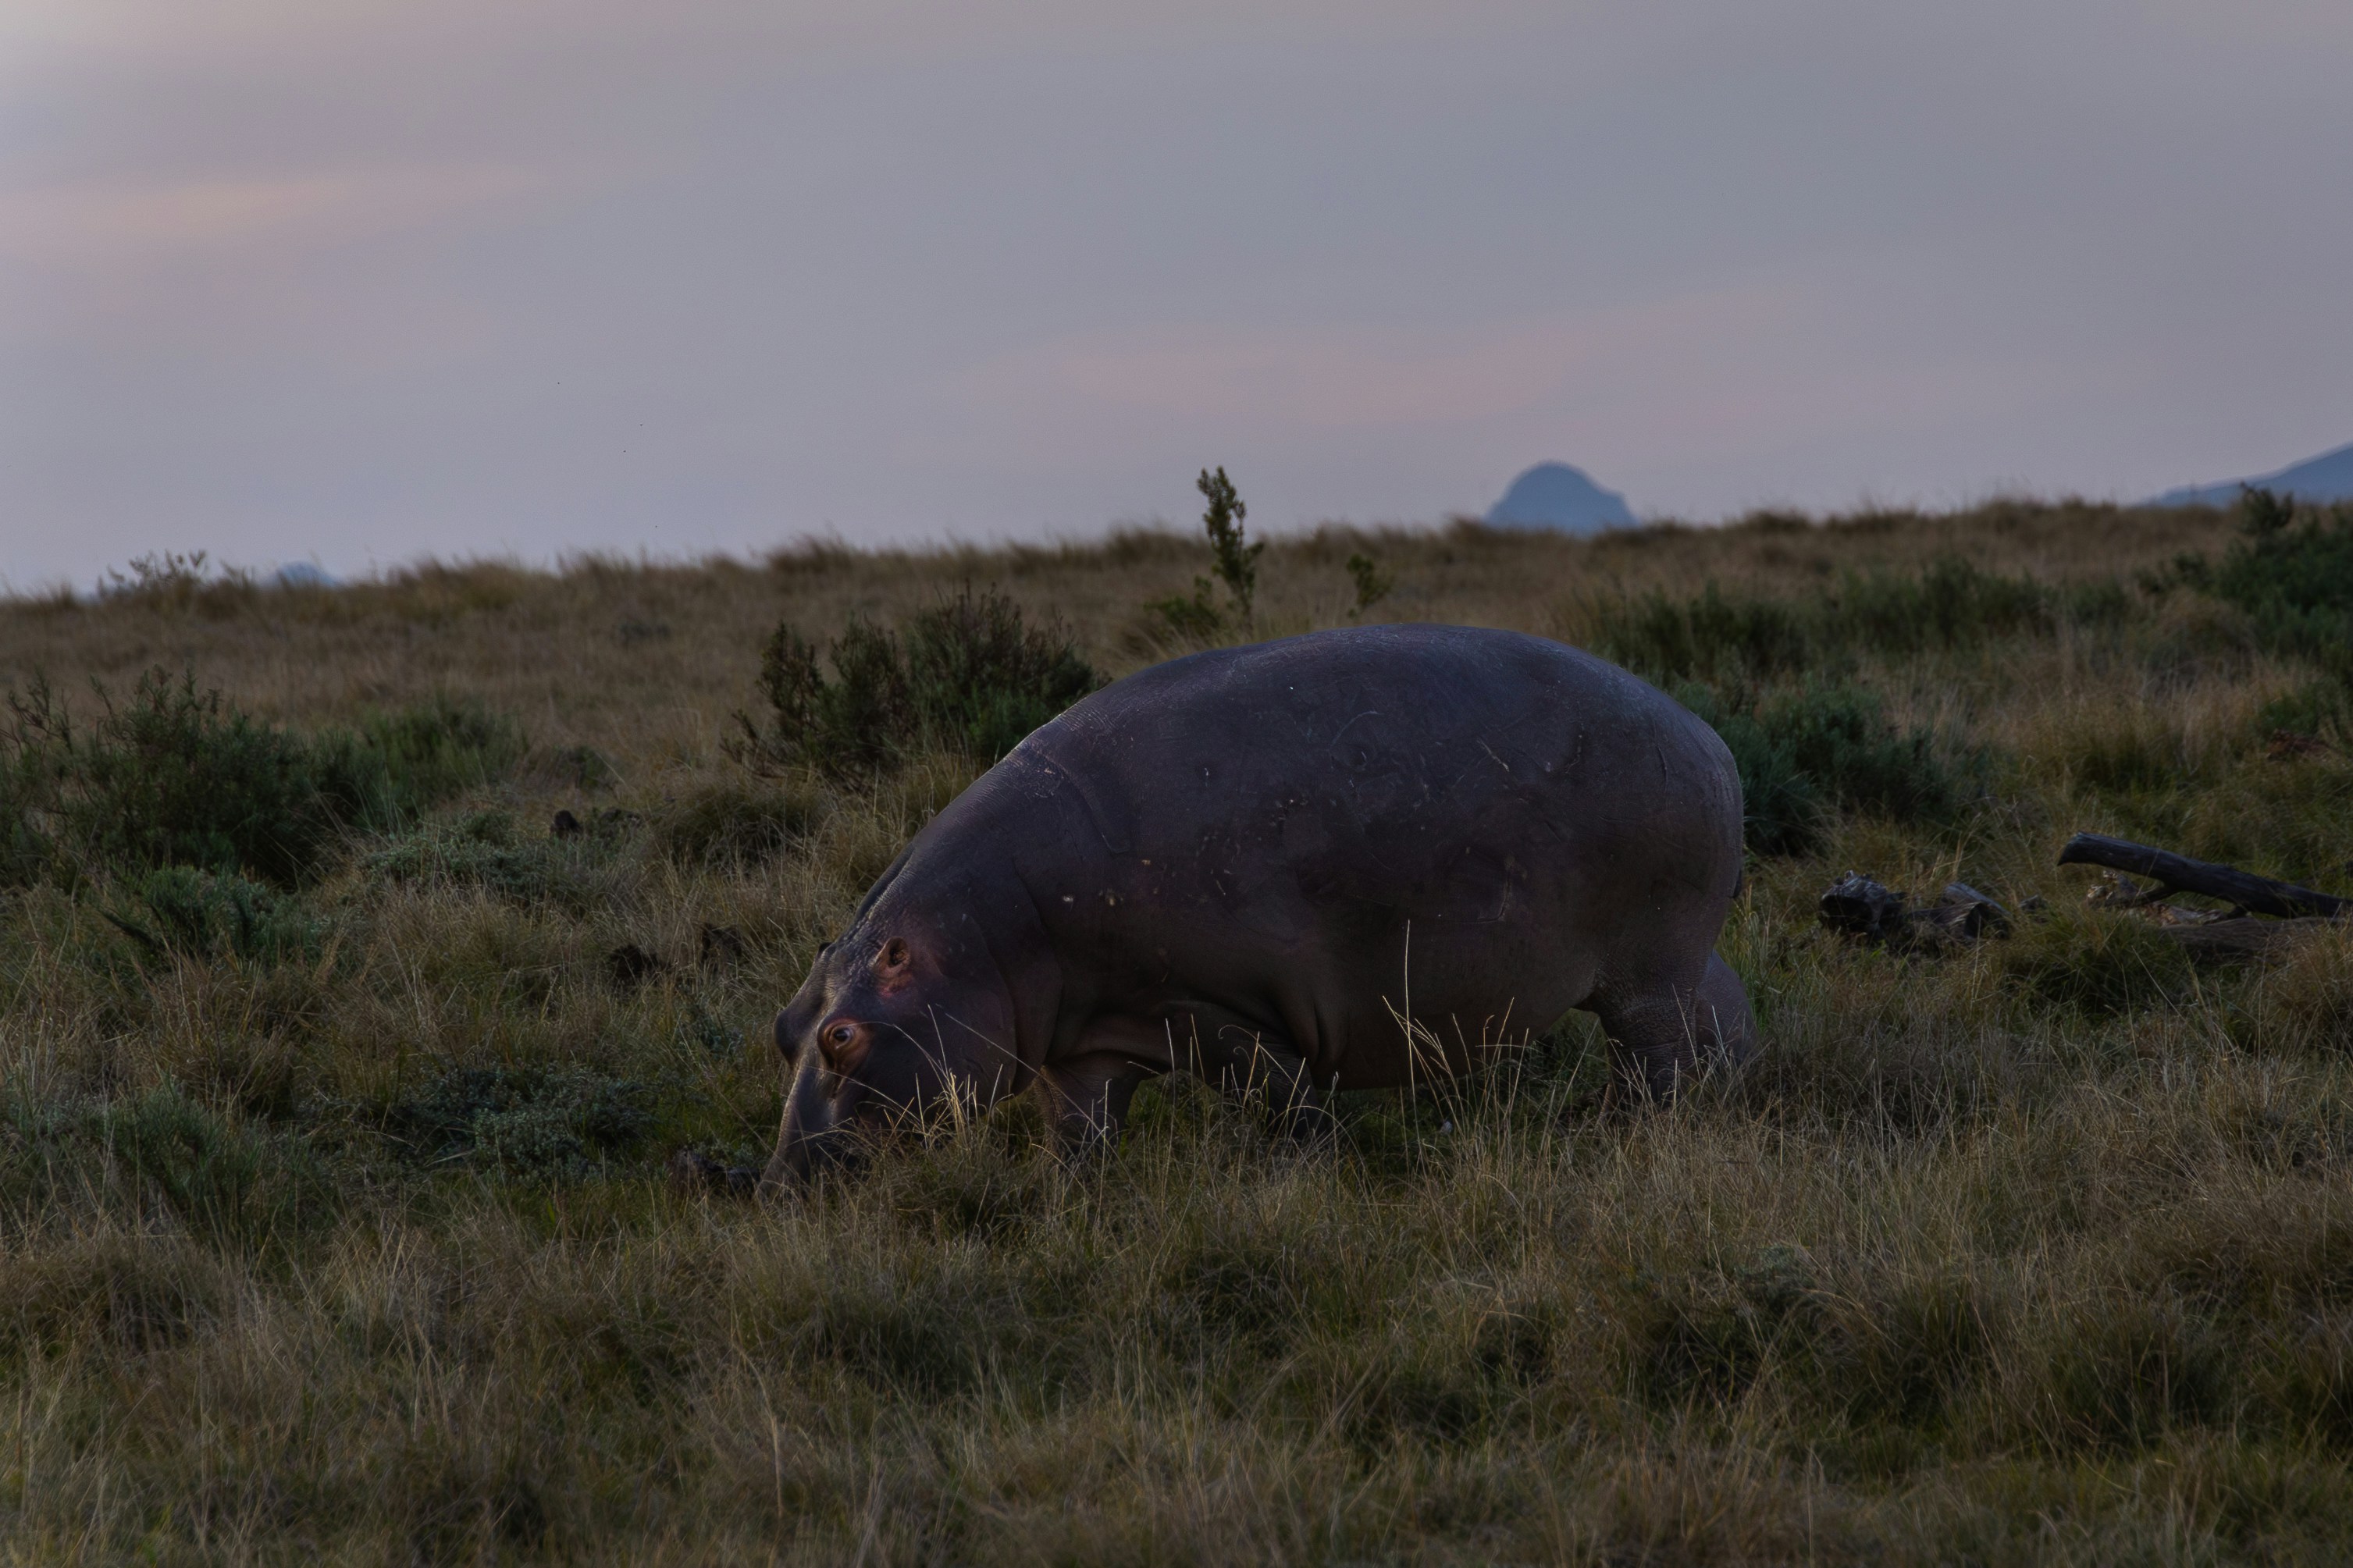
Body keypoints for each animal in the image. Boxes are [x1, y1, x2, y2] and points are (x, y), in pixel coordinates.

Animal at [763, 623, 1752, 1191]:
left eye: (841, 1037)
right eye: (782, 1026)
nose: (778, 1184)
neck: (978, 940)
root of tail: (1707, 736)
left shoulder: (1213, 1007)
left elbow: (1283, 1096)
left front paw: (1302, 1176)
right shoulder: (1083, 1039)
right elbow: (1077, 1132)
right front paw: (1063, 1198)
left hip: (1645, 969)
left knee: (1656, 1062)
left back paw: (1624, 1137)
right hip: (1684, 959)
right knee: (1722, 1013)